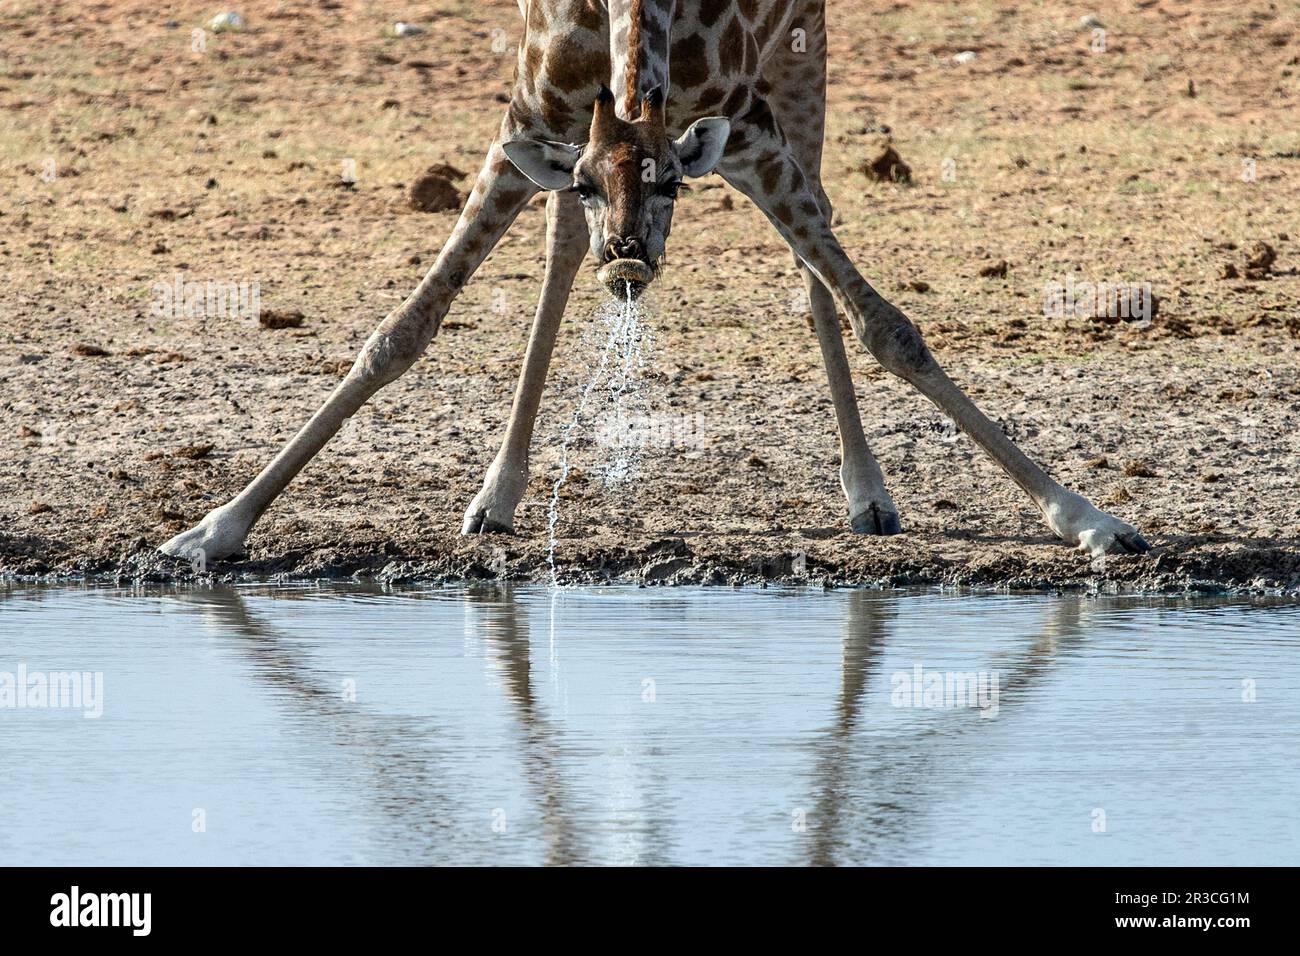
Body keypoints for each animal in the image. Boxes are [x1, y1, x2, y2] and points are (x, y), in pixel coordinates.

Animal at [160, 0, 1149, 563]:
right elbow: (399, 331)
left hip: (804, 59)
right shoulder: (528, 124)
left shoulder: (744, 130)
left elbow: (888, 326)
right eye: (594, 182)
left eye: (674, 182)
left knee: (817, 258)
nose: (631, 255)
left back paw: (867, 492)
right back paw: (498, 494)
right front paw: (214, 530)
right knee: (562, 253)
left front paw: (1090, 518)